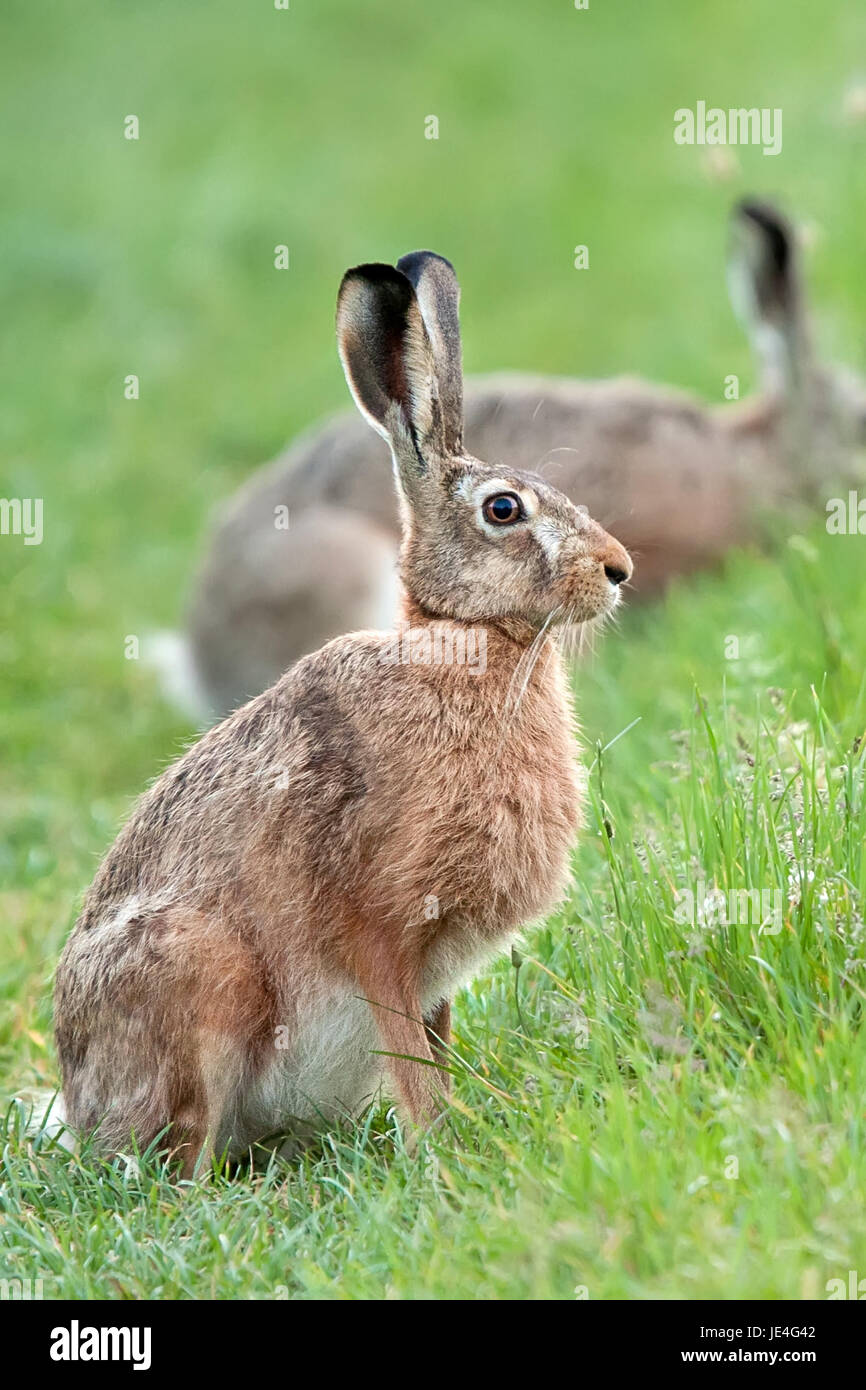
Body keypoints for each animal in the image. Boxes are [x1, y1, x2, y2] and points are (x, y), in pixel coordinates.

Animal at [54, 252, 633, 1176]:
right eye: (504, 509)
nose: (618, 569)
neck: (462, 642)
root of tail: (81, 1112)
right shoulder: (379, 928)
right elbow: (410, 1057)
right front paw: (443, 1150)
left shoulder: (436, 971)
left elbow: (435, 1044)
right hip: (196, 971)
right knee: (180, 1157)